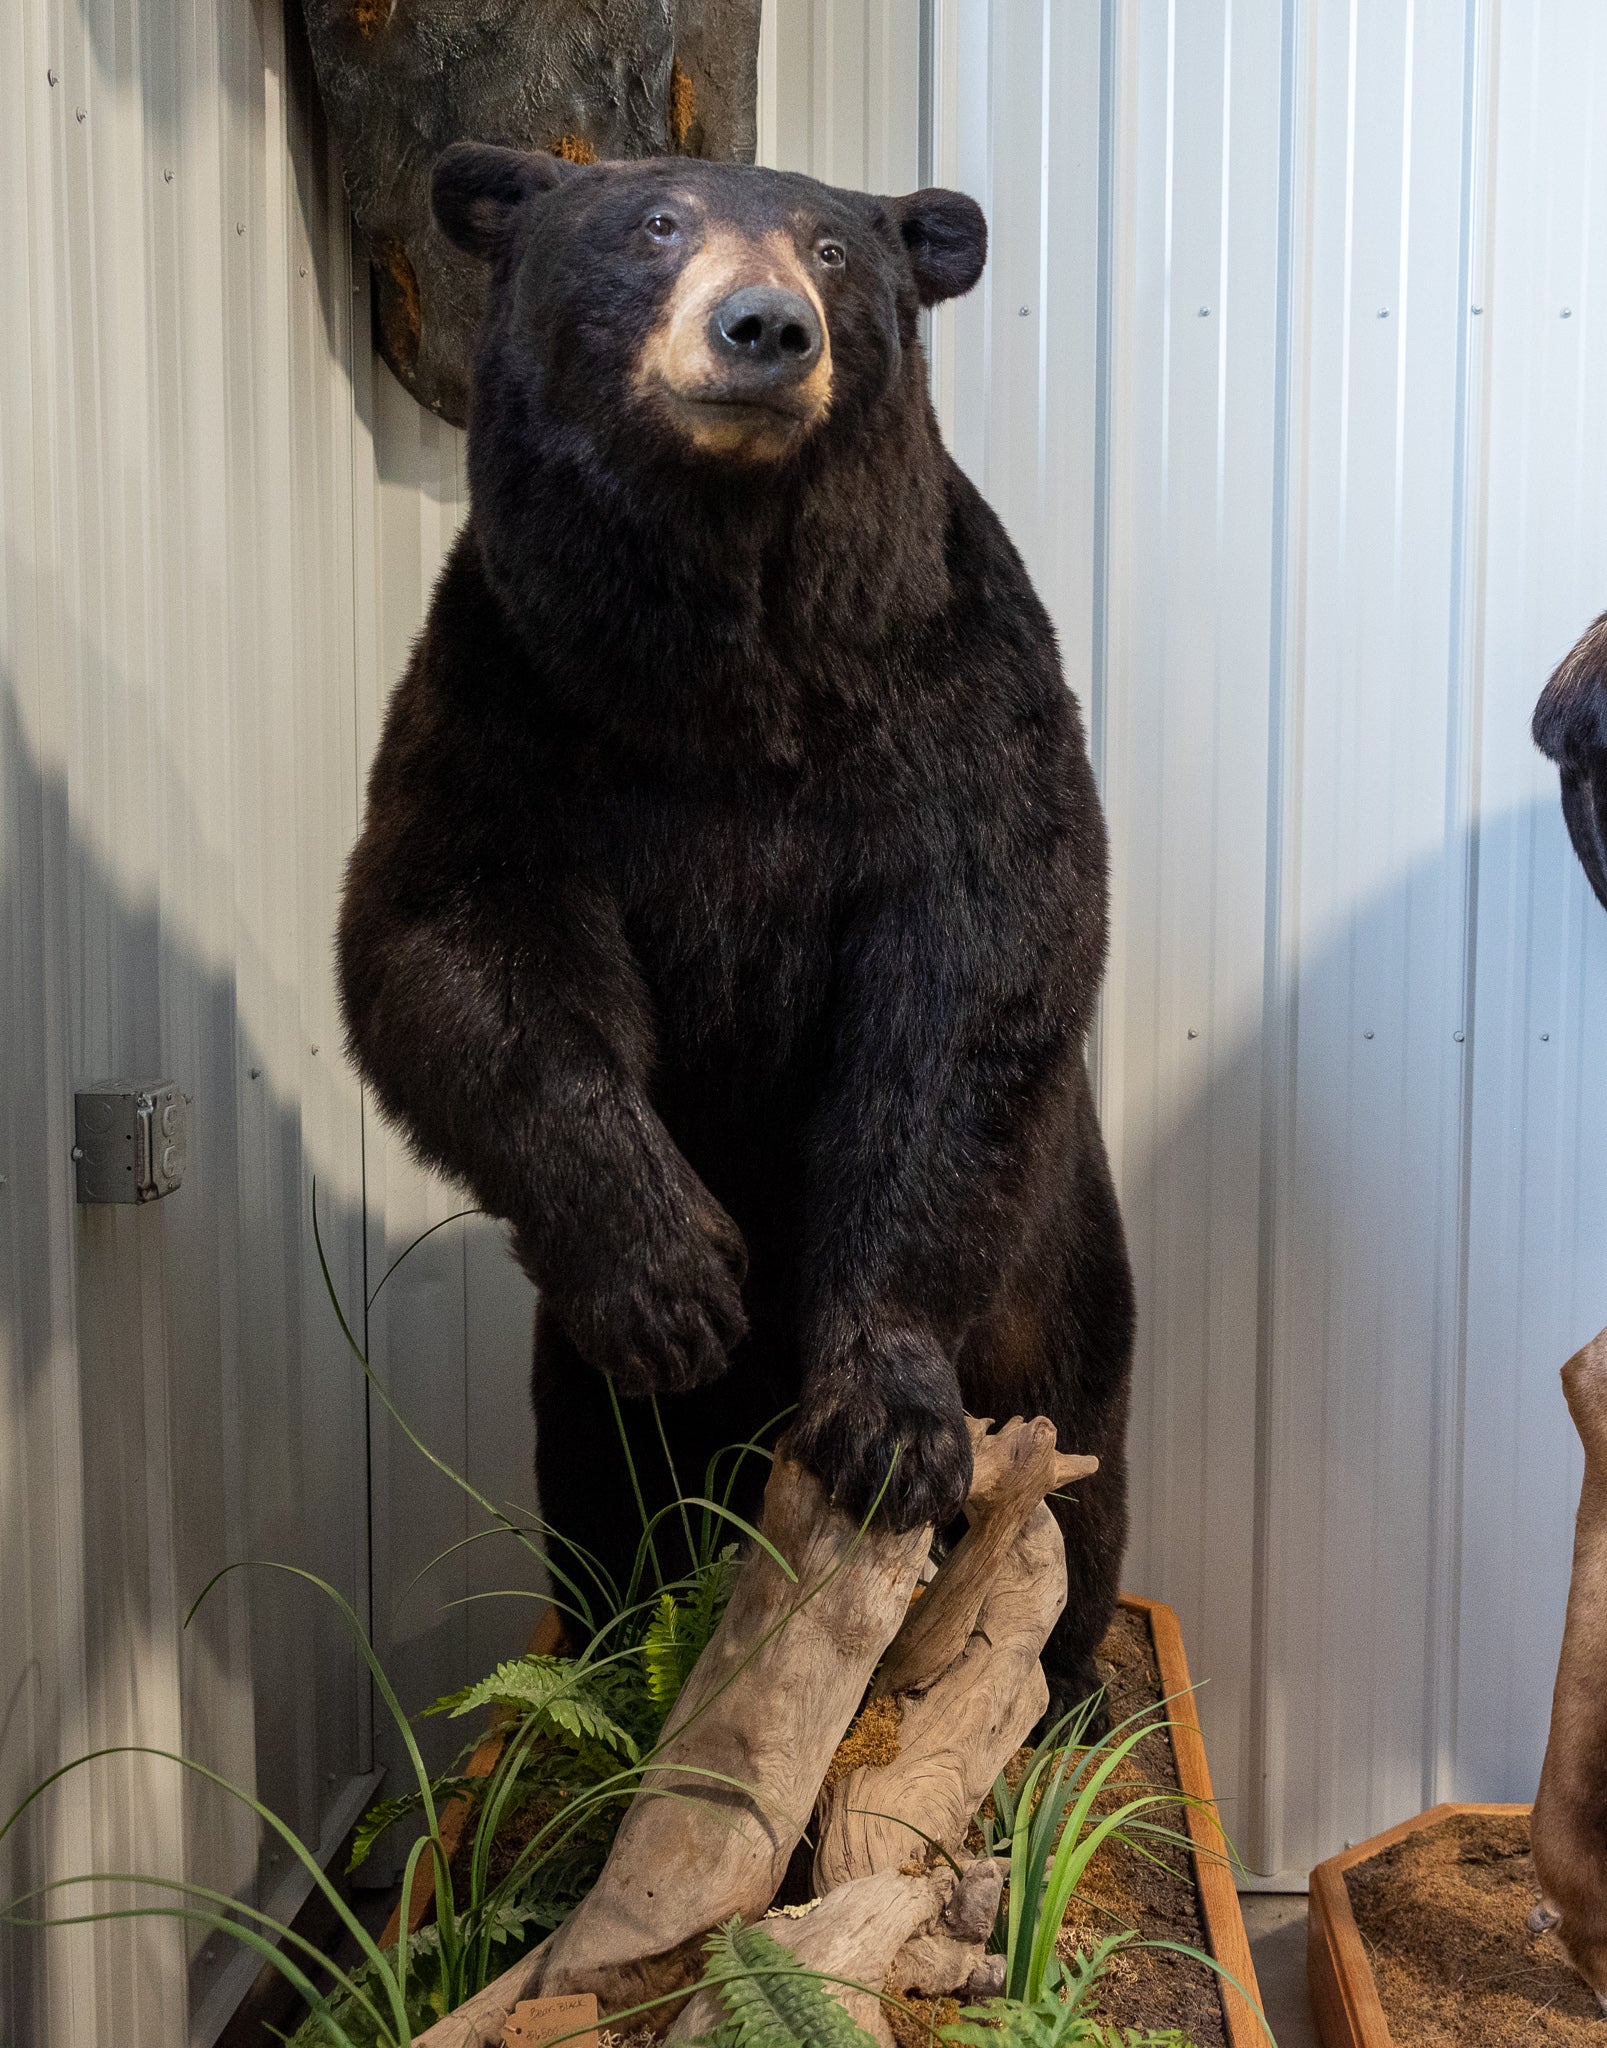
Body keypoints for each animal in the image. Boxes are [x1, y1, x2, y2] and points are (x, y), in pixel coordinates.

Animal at [336, 141, 1136, 1721]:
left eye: (830, 248)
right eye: (654, 223)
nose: (763, 327)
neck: (736, 670)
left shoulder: (955, 707)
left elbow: (972, 986)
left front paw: (888, 1424)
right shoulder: (514, 703)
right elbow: (449, 944)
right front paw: (675, 1272)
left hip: (1066, 1278)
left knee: (1080, 1472)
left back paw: (1074, 1686)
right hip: (565, 1365)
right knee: (596, 1479)